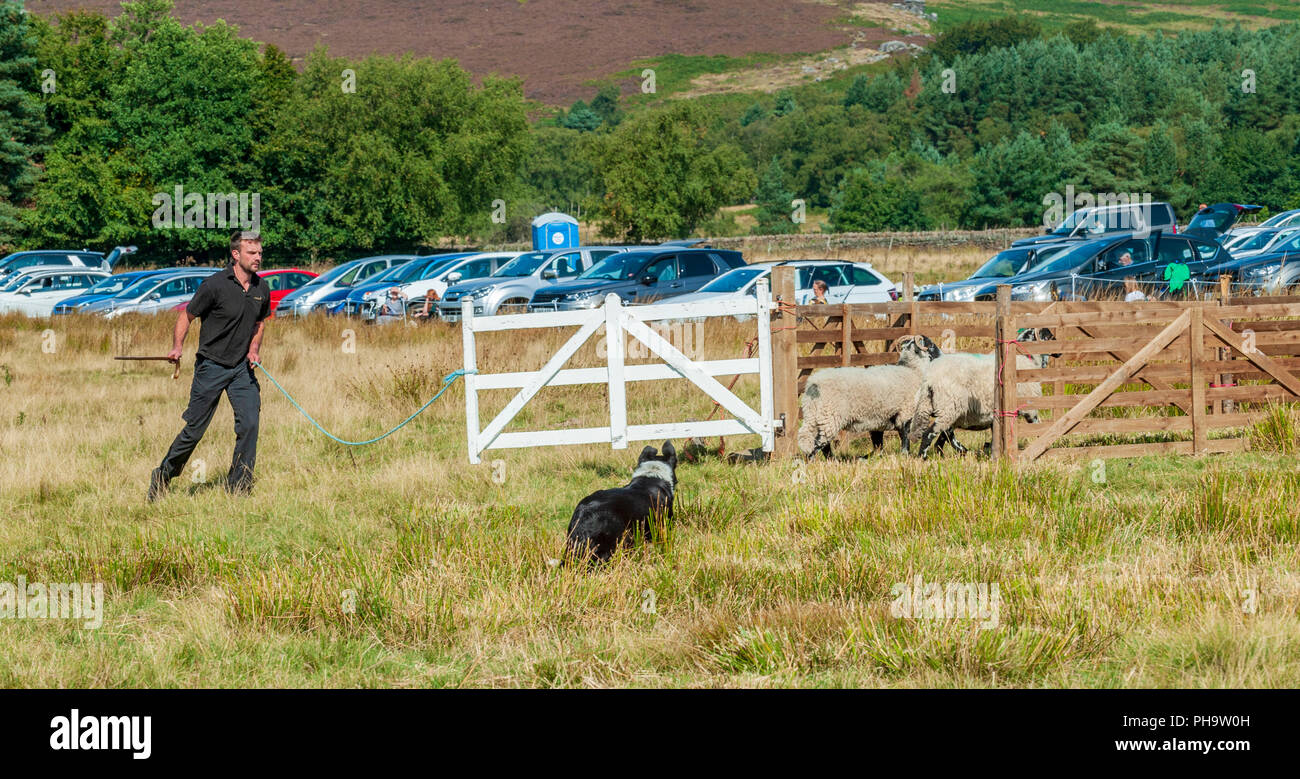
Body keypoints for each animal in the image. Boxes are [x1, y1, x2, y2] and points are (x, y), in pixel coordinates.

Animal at [796, 334, 943, 459]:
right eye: (930, 344)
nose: (942, 355)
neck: (912, 370)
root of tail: (813, 383)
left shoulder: (878, 421)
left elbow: (878, 444)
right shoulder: (905, 413)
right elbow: (904, 437)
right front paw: (905, 456)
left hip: (814, 416)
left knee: (810, 439)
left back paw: (830, 460)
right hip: (829, 417)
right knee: (818, 443)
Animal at [910, 329, 1055, 459]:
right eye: (1050, 335)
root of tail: (930, 378)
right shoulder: (1030, 409)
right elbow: (1038, 427)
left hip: (936, 407)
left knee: (943, 434)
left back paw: (950, 452)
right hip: (950, 407)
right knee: (932, 433)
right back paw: (924, 457)